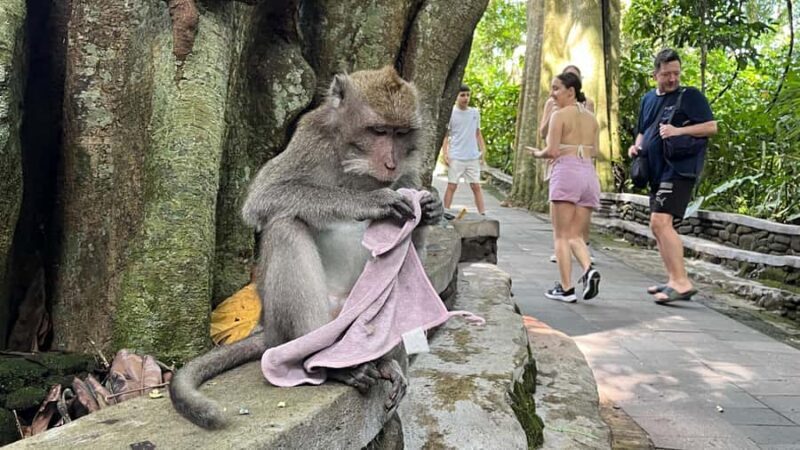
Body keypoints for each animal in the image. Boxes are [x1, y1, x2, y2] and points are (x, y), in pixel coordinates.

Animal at [169, 66, 443, 429]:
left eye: (400, 134)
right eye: (378, 131)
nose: (390, 165)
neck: (356, 168)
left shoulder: (409, 171)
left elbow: (414, 239)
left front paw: (431, 208)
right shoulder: (310, 139)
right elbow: (265, 197)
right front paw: (371, 202)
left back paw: (383, 362)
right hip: (295, 323)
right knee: (285, 225)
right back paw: (325, 364)